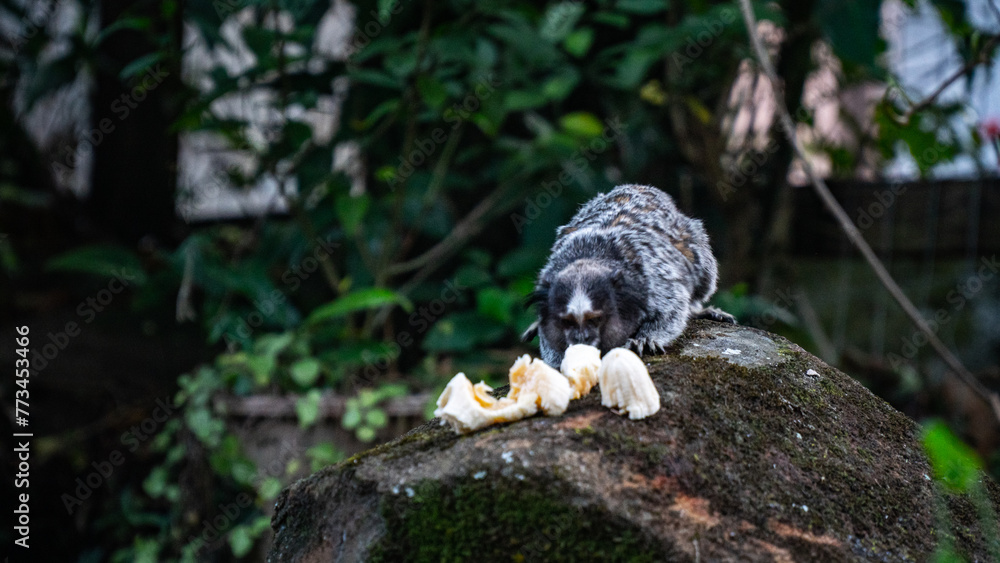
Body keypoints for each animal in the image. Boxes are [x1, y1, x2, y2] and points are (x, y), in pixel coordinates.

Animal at [523, 184, 735, 368]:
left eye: (595, 319)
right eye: (568, 321)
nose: (582, 338)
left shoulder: (650, 278)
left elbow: (672, 308)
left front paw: (645, 338)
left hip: (694, 242)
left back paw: (697, 309)